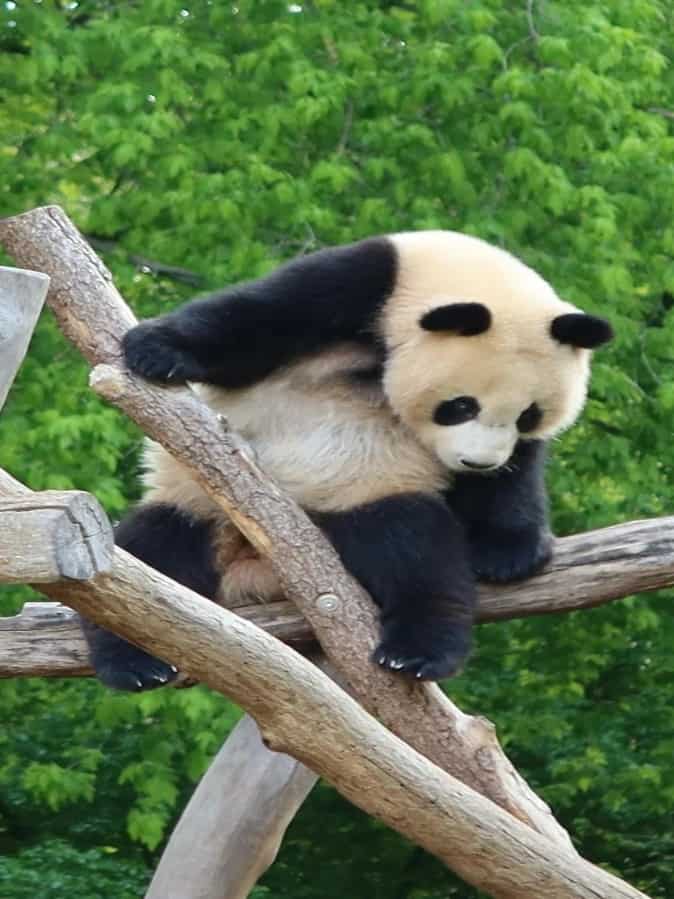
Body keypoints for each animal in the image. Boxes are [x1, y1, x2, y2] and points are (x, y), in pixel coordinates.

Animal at [81, 230, 613, 690]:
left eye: (528, 414)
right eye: (462, 405)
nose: (476, 462)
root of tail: (256, 574)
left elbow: (511, 480)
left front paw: (507, 553)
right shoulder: (366, 279)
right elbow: (255, 322)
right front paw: (154, 348)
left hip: (364, 494)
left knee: (413, 548)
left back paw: (416, 651)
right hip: (199, 503)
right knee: (151, 553)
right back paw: (135, 662)